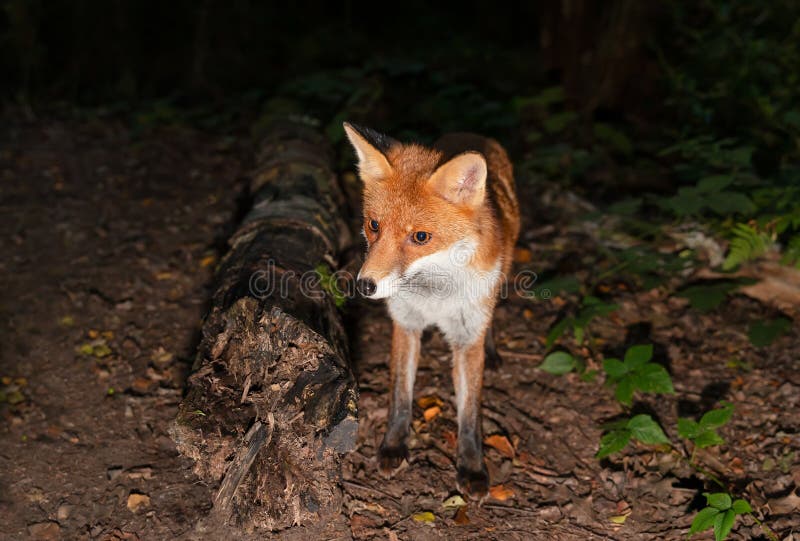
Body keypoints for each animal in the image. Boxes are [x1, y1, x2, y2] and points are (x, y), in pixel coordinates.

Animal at [343, 122, 520, 497]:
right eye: (374, 225)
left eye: (420, 237)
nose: (365, 286)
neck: (435, 297)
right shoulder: (406, 324)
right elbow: (400, 397)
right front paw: (393, 446)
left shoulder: (467, 338)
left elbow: (469, 413)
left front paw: (472, 468)